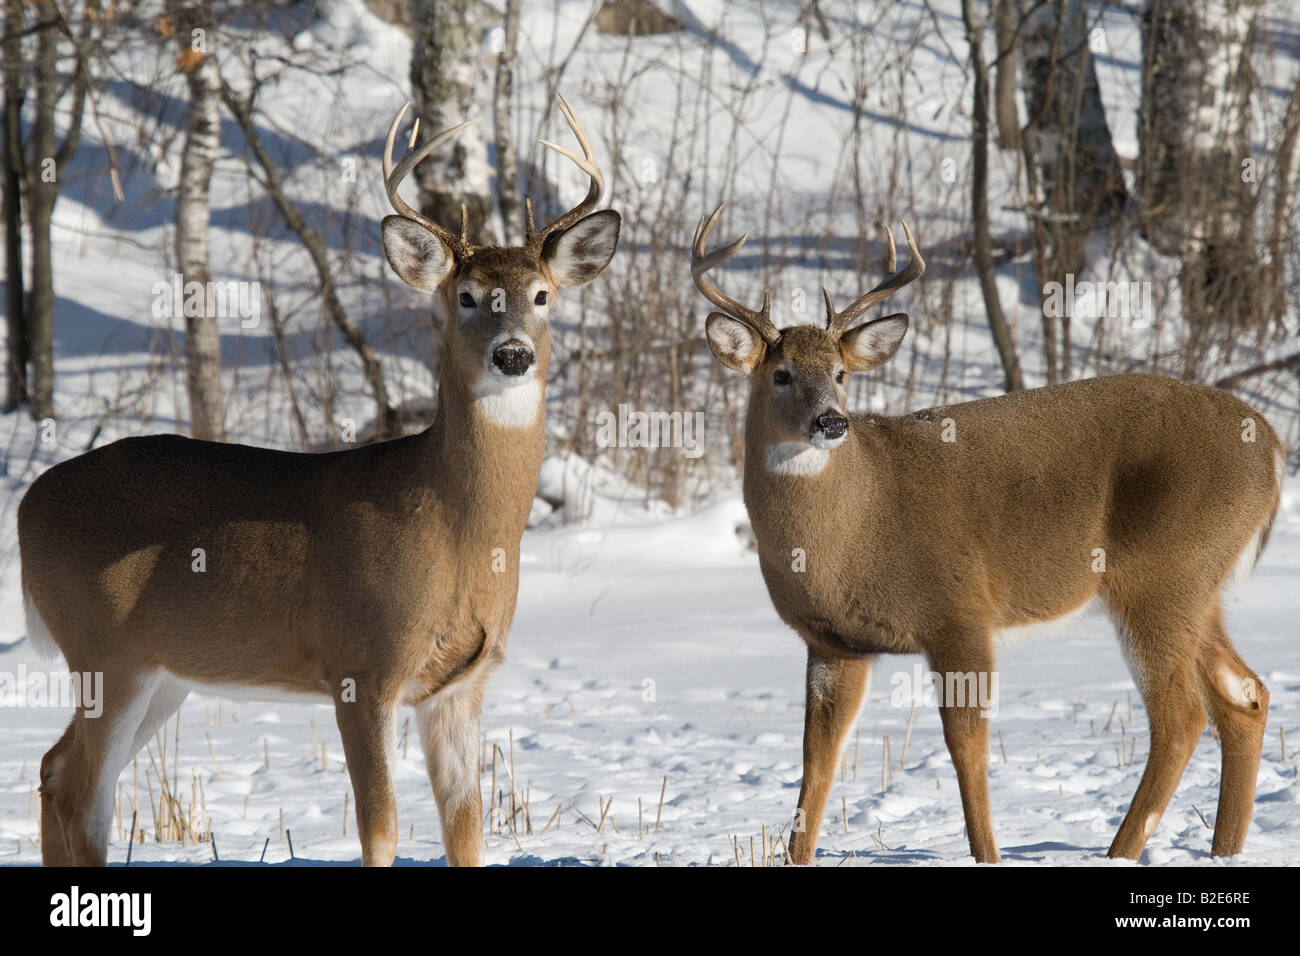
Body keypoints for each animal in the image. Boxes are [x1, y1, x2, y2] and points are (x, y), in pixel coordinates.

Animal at [18, 94, 621, 867]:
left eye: (542, 295)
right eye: (465, 296)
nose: (512, 354)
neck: (457, 528)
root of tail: (28, 500)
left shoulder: (461, 685)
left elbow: (466, 831)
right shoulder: (360, 664)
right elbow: (380, 827)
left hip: (163, 674)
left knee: (53, 766)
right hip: (104, 651)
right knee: (81, 792)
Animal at [691, 202, 1284, 865]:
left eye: (841, 372)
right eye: (782, 374)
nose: (832, 422)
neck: (853, 529)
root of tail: (1271, 444)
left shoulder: (960, 613)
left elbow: (965, 749)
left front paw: (988, 853)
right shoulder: (832, 641)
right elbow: (817, 761)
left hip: (1163, 576)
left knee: (1181, 717)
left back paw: (1121, 850)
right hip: (1198, 588)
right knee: (1245, 696)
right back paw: (1225, 850)